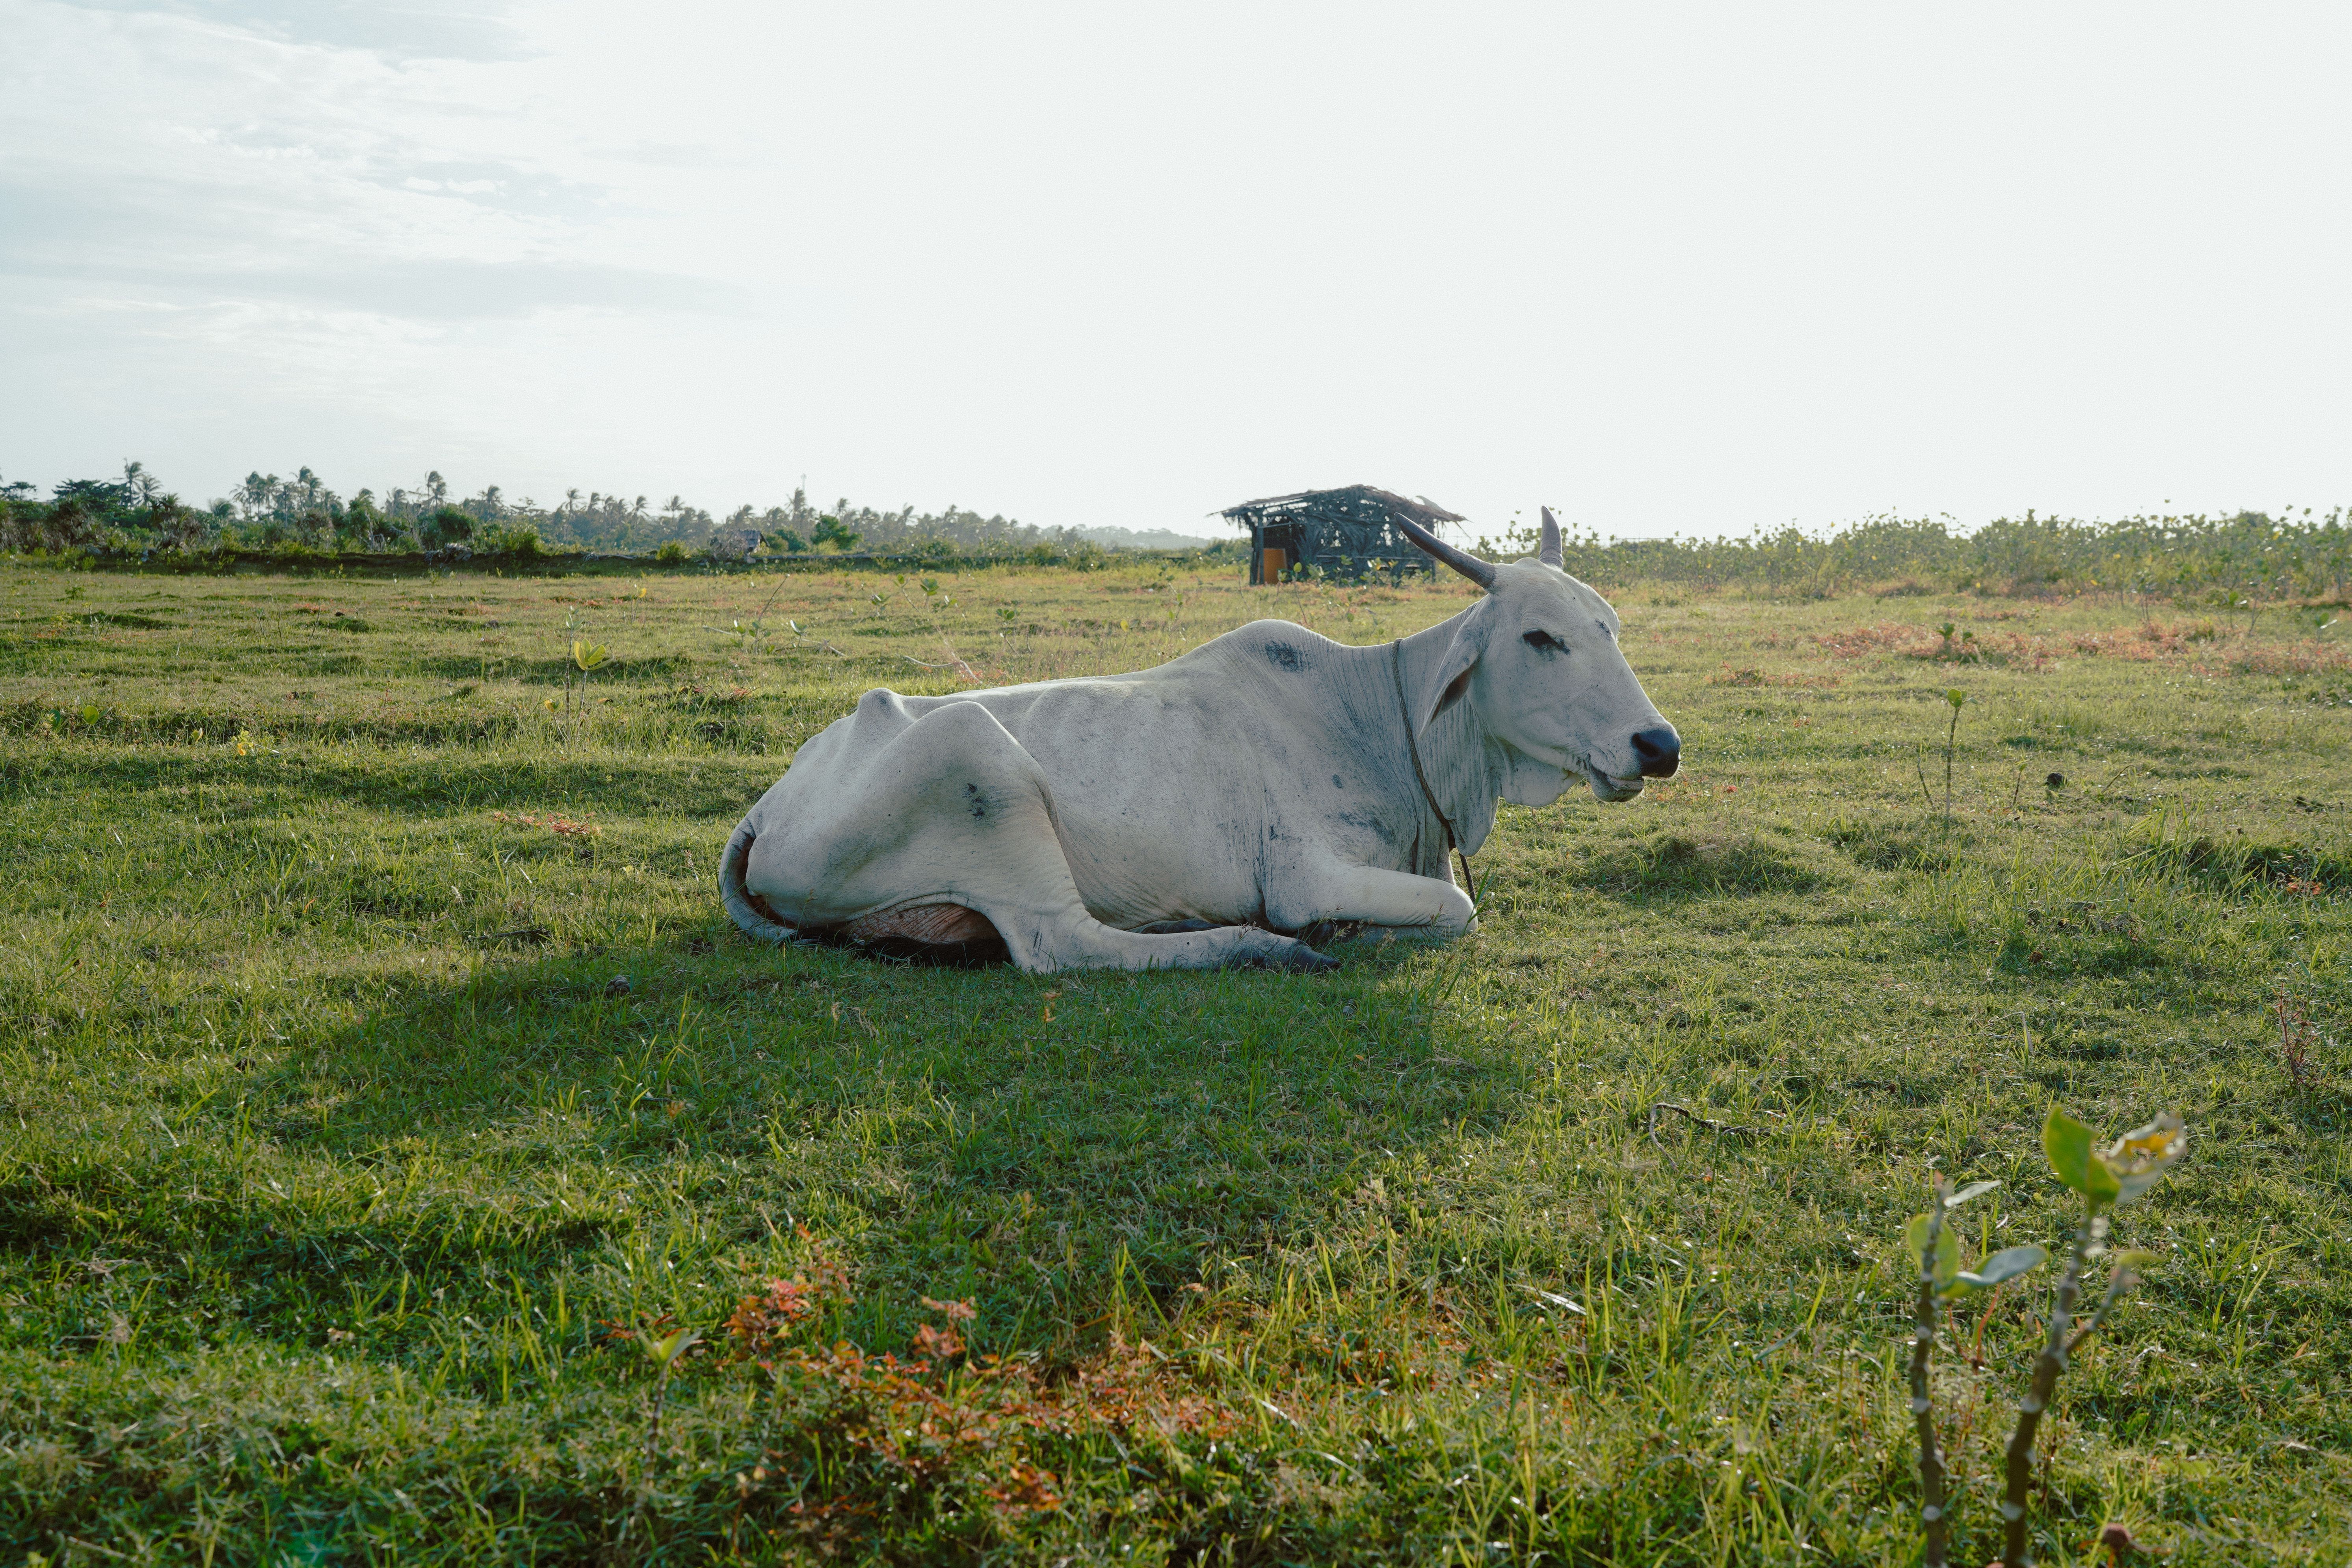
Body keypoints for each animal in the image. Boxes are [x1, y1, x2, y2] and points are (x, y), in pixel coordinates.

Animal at [719, 508, 1679, 972]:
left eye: (1608, 625)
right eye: (1539, 637)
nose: (1657, 744)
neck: (1382, 715)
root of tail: (769, 807)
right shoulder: (1304, 873)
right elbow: (1455, 909)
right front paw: (1341, 933)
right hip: (977, 761)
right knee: (1062, 948)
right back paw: (1257, 947)